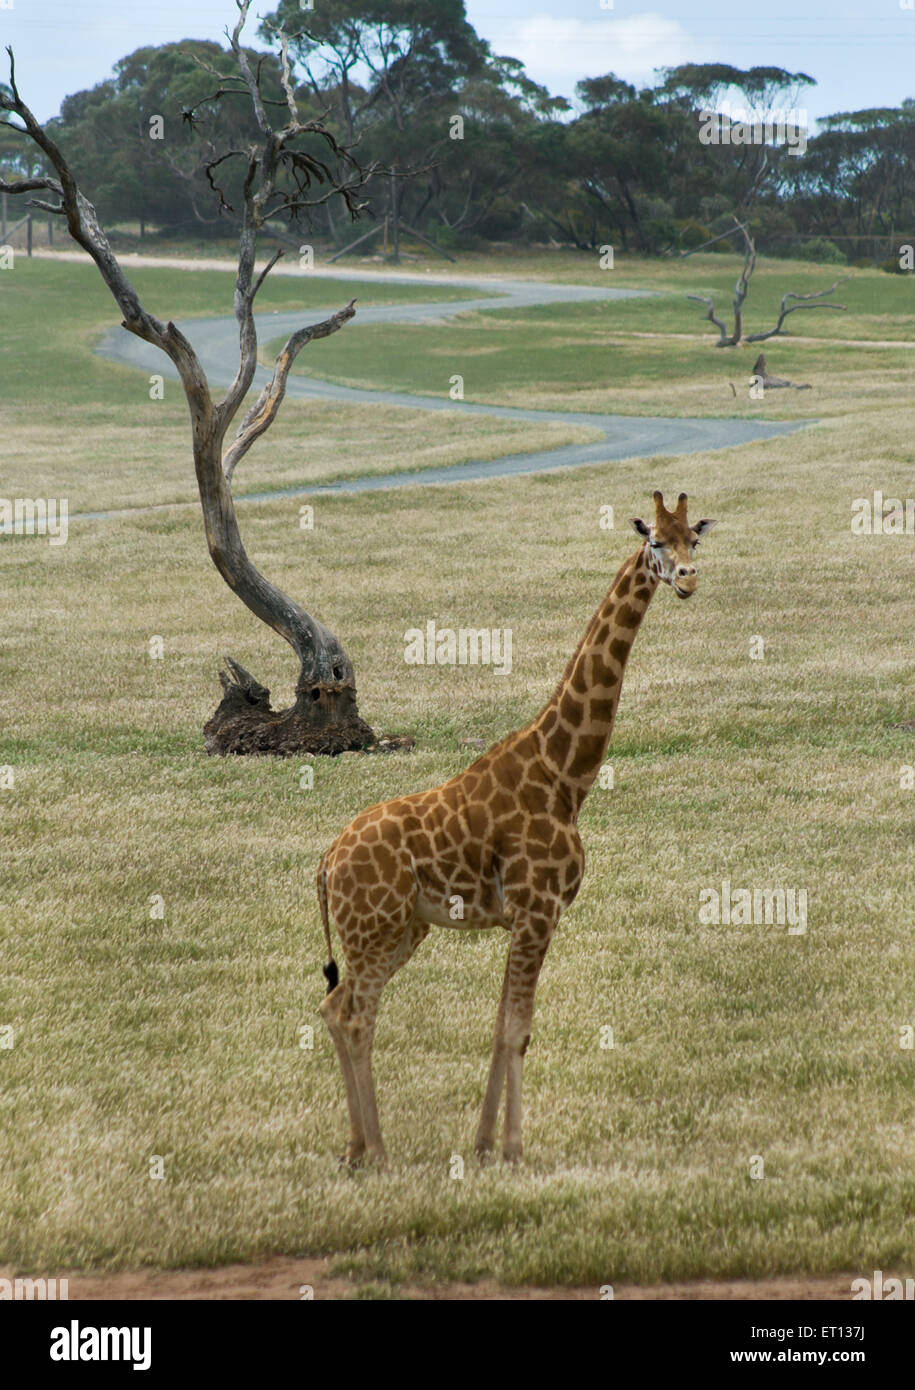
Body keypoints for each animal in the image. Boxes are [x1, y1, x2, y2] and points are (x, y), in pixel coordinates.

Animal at [316, 490, 716, 1166]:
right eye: (655, 542)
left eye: (695, 537)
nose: (687, 581)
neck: (564, 774)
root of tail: (324, 863)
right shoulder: (538, 909)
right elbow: (518, 1029)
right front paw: (513, 1151)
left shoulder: (525, 916)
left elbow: (503, 1025)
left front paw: (482, 1145)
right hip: (372, 930)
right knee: (355, 1015)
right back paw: (379, 1153)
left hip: (403, 930)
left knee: (332, 1004)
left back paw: (354, 1149)